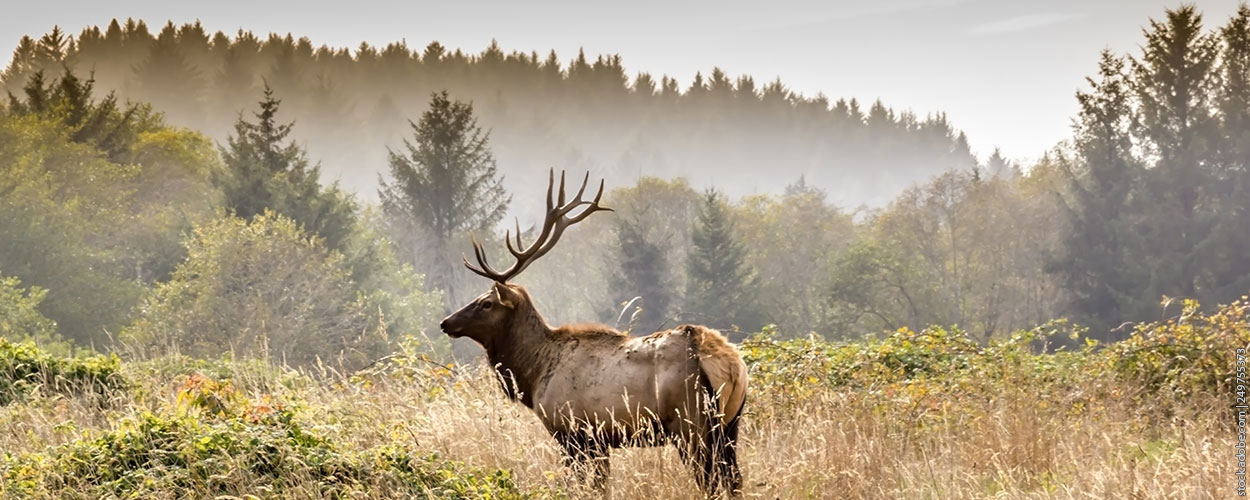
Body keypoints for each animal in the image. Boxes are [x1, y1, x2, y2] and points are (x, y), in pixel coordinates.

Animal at [439, 170, 748, 497]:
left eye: (486, 303)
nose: (446, 322)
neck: (534, 373)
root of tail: (731, 364)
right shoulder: (598, 439)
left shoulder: (572, 431)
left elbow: (583, 486)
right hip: (730, 424)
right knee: (734, 479)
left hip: (691, 423)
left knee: (711, 480)